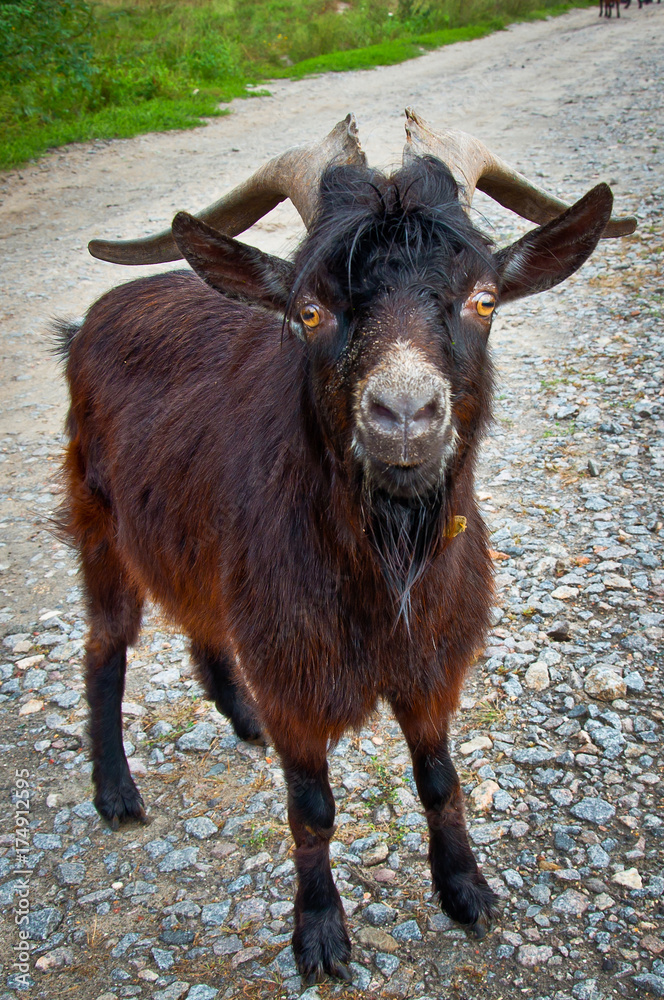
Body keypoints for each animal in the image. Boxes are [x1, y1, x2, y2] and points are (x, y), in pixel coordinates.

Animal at [59, 111, 635, 982]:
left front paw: (466, 890)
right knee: (105, 647)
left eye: (484, 299)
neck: (383, 573)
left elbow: (439, 781)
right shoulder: (295, 679)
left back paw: (239, 718)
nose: (404, 416)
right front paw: (321, 933)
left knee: (200, 622)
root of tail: (92, 316)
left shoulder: (431, 667)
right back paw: (116, 792)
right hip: (101, 530)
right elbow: (312, 808)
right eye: (309, 311)